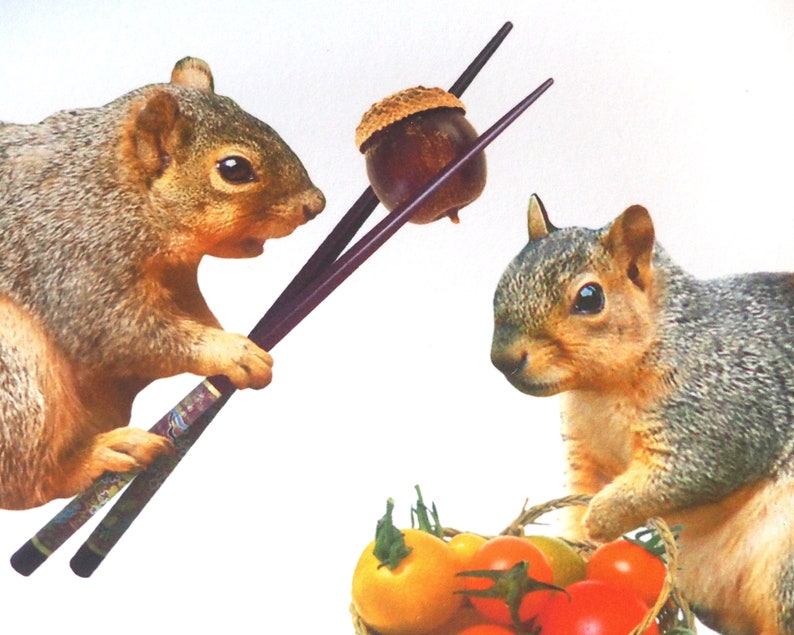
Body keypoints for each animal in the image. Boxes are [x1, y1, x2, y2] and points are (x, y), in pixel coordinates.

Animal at [0, 57, 325, 510]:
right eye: (234, 169)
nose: (316, 204)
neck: (116, 191)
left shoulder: (179, 281)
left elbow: (194, 315)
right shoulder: (74, 264)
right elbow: (121, 333)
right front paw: (231, 353)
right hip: (17, 374)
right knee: (30, 485)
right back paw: (101, 455)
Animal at [491, 194, 794, 635]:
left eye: (589, 298)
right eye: (502, 283)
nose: (502, 360)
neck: (601, 390)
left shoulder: (718, 413)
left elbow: (683, 474)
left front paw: (599, 520)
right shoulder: (586, 451)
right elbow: (581, 492)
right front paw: (575, 538)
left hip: (783, 567)